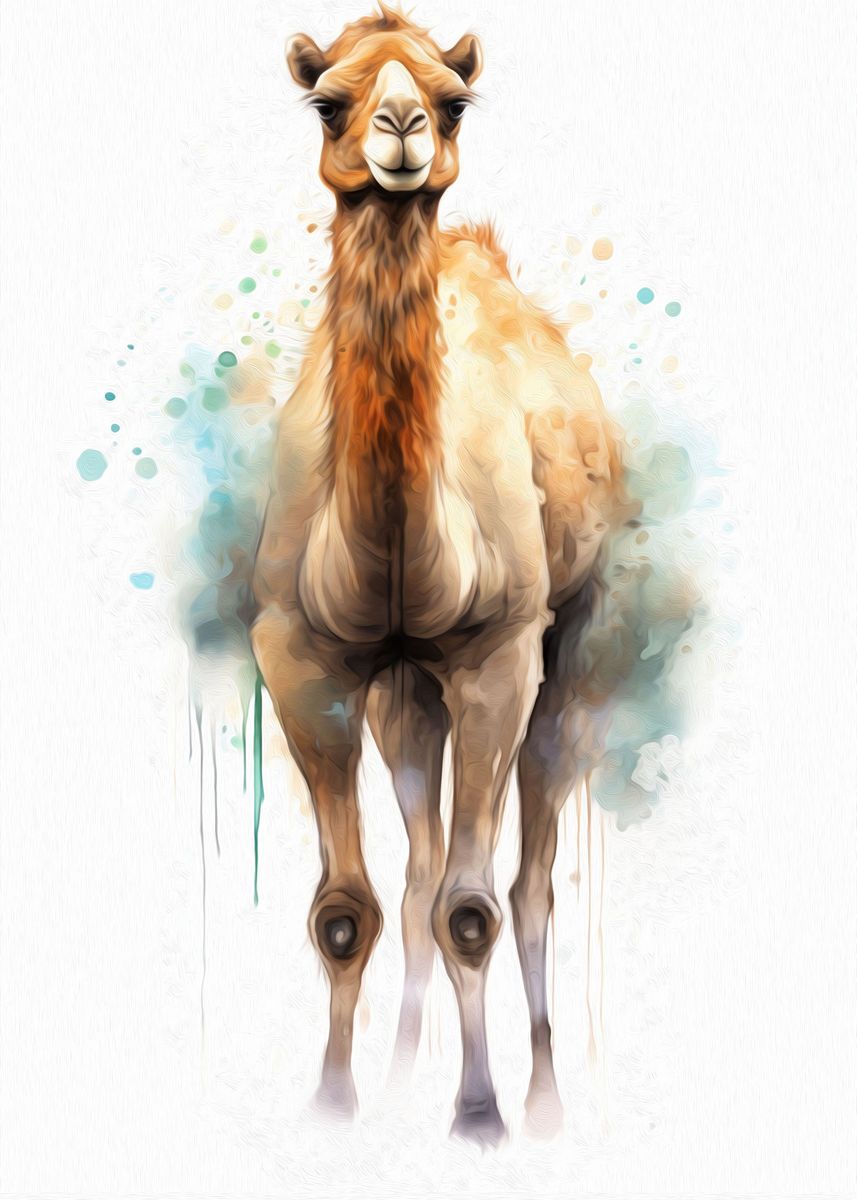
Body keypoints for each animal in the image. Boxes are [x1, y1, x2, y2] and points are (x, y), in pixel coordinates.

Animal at [251, 6, 628, 1144]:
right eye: (326, 99)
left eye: (452, 100)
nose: (402, 131)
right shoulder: (299, 656)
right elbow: (346, 910)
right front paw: (336, 1105)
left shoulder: (498, 651)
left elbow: (473, 909)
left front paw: (478, 1116)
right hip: (403, 689)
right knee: (418, 871)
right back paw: (402, 1072)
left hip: (573, 647)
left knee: (528, 876)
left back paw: (541, 1099)